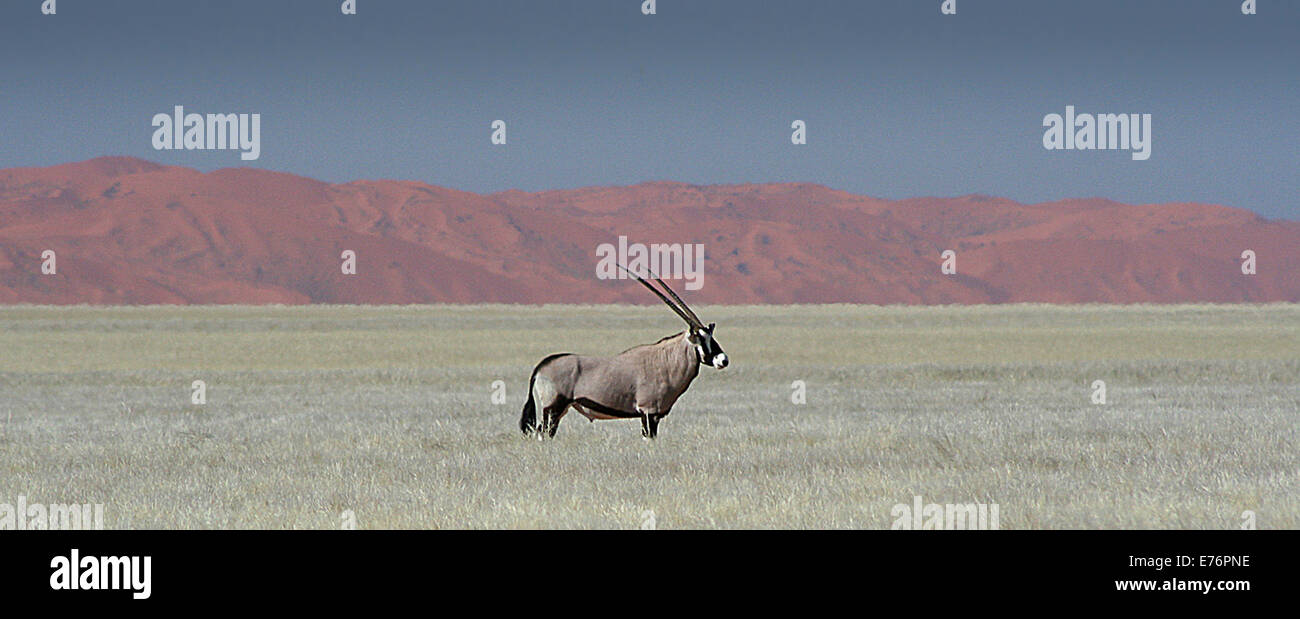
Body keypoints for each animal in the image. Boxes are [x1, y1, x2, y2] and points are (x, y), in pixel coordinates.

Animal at [519, 266, 728, 440]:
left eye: (711, 336)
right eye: (701, 338)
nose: (723, 360)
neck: (666, 361)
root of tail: (541, 367)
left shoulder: (655, 416)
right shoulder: (648, 413)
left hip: (559, 410)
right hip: (552, 409)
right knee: (543, 434)